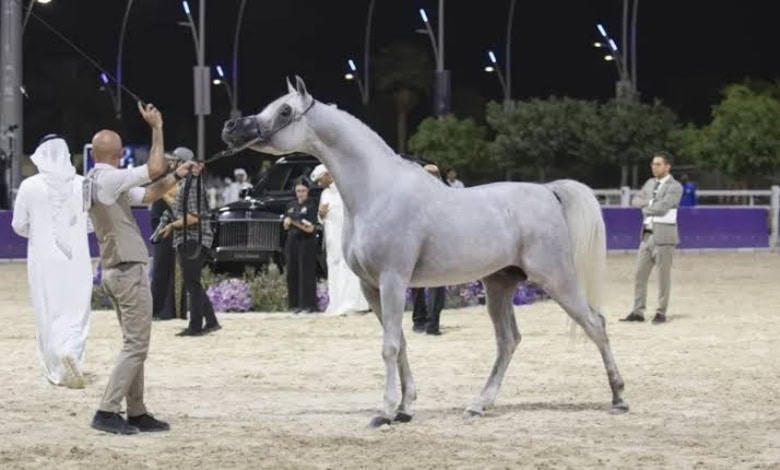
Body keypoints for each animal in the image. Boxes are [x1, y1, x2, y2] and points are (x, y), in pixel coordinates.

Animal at [221, 76, 629, 427]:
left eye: (285, 111)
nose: (231, 128)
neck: (377, 191)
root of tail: (548, 191)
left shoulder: (393, 280)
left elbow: (389, 346)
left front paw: (385, 412)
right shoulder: (373, 286)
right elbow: (399, 342)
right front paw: (405, 407)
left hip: (556, 278)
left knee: (595, 323)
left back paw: (619, 397)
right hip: (499, 284)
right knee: (508, 340)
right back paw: (479, 404)